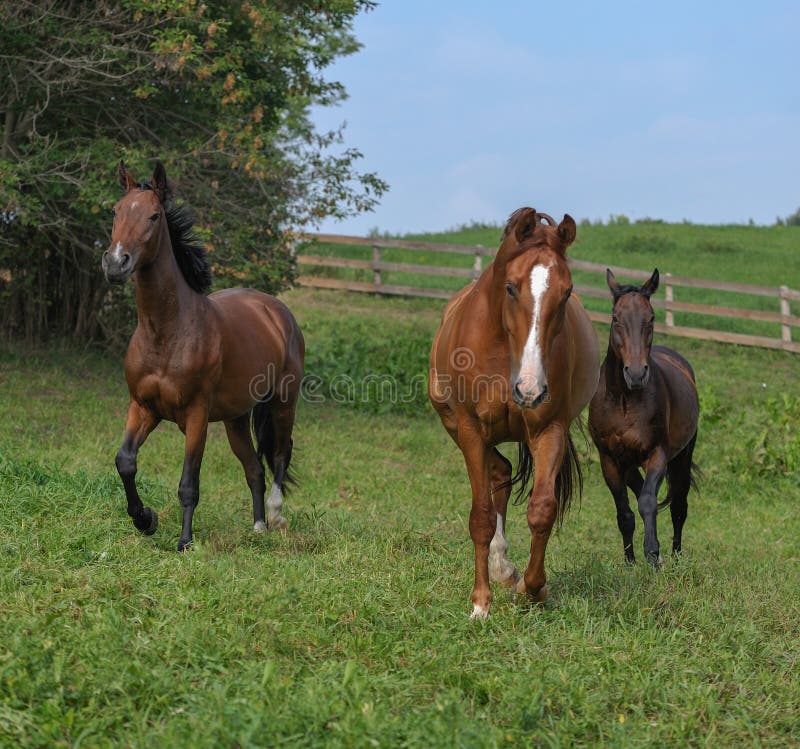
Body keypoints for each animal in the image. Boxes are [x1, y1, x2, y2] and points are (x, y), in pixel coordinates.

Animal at [103, 161, 304, 551]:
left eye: (153, 216)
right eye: (116, 211)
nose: (117, 263)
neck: (166, 332)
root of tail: (276, 311)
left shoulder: (195, 416)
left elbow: (188, 483)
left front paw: (184, 542)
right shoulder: (143, 407)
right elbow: (125, 462)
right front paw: (144, 519)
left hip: (283, 402)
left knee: (279, 453)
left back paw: (275, 516)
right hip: (236, 418)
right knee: (254, 469)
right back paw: (258, 527)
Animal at [429, 207, 600, 618]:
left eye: (566, 292)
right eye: (510, 287)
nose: (530, 389)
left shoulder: (550, 429)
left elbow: (542, 510)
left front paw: (532, 588)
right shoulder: (471, 430)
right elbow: (480, 516)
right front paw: (480, 603)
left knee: (503, 474)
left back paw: (508, 571)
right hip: (457, 427)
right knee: (498, 475)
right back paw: (499, 568)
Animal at [588, 269, 699, 566]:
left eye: (651, 318)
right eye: (615, 318)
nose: (636, 374)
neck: (624, 401)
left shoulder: (657, 453)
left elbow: (648, 502)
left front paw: (652, 555)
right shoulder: (610, 460)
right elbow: (625, 512)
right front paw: (630, 562)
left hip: (683, 456)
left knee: (678, 506)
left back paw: (676, 555)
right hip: (628, 464)